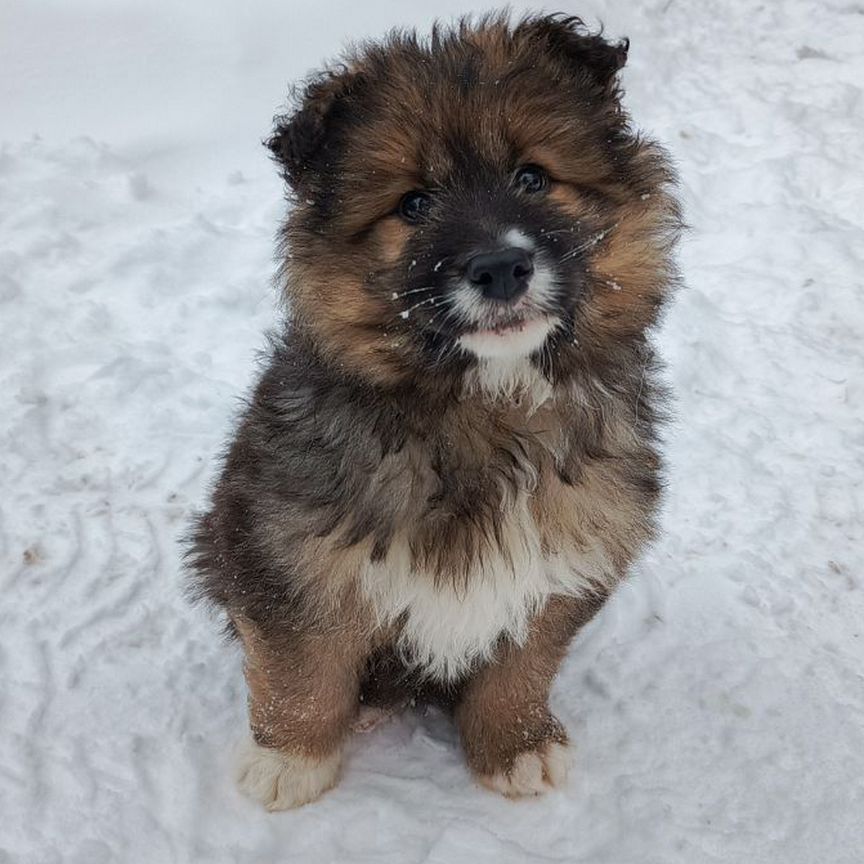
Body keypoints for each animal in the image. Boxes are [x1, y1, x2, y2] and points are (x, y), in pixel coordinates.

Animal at [189, 13, 680, 808]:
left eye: (532, 176)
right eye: (413, 203)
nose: (501, 267)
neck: (486, 410)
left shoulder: (572, 553)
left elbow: (522, 665)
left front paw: (516, 746)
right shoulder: (283, 550)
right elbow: (303, 667)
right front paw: (289, 758)